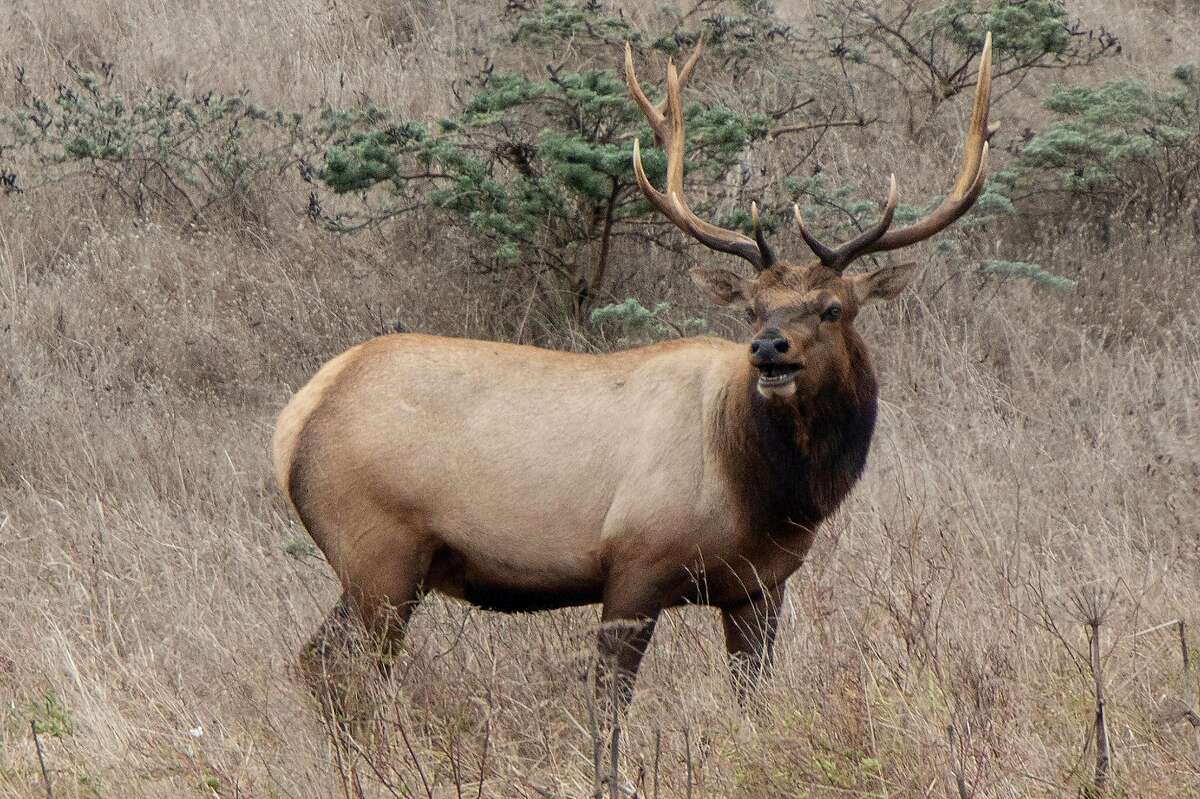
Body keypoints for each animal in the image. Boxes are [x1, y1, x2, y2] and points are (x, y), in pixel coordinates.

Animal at [272, 34, 994, 712]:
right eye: (753, 307)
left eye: (833, 307)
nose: (769, 349)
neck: (769, 491)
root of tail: (294, 421)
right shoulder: (634, 563)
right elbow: (609, 699)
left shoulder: (760, 585)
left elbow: (751, 698)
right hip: (378, 552)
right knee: (337, 668)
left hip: (387, 567)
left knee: (320, 664)